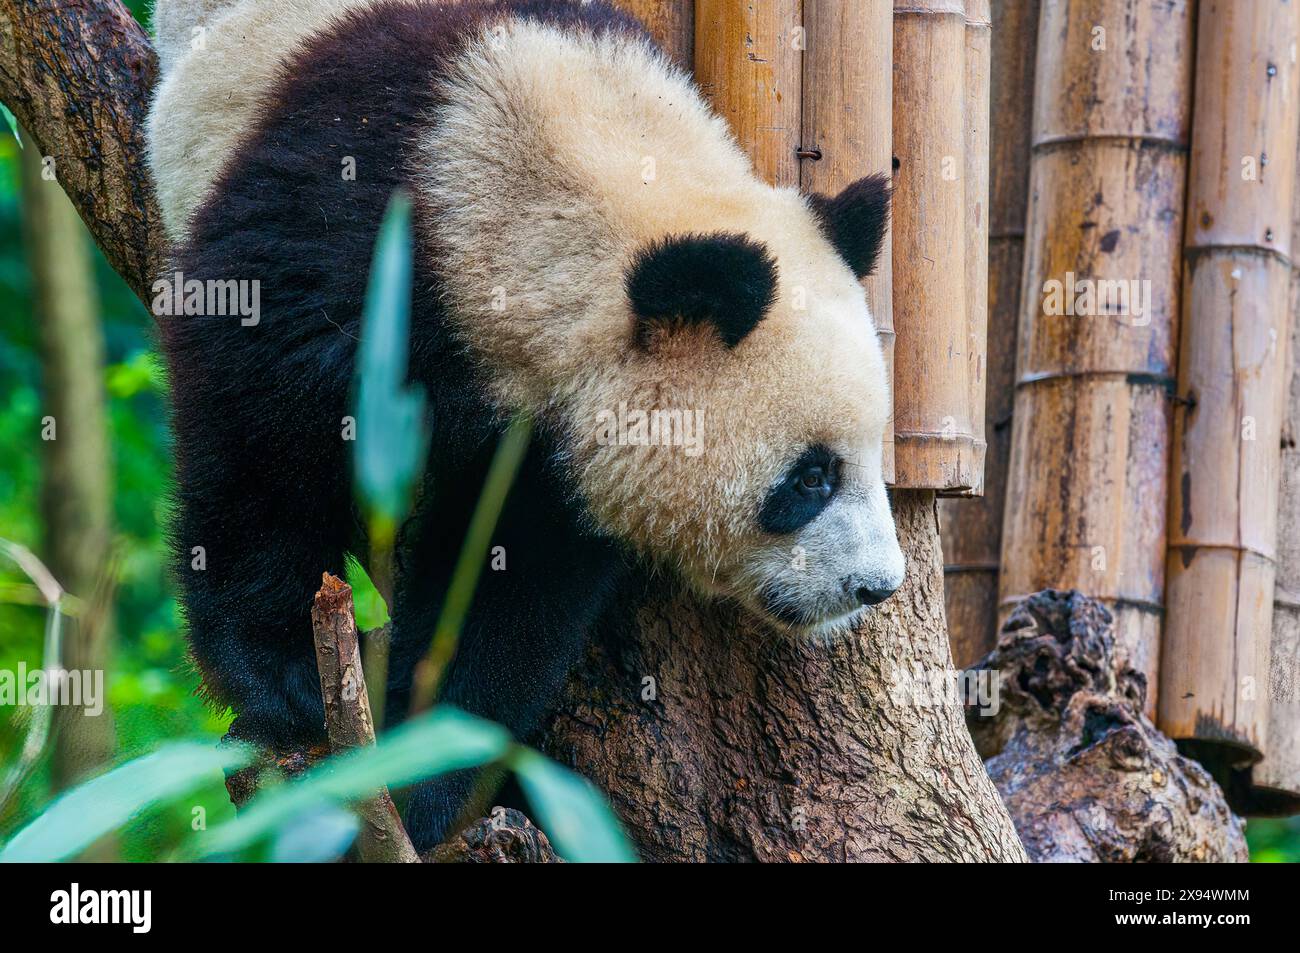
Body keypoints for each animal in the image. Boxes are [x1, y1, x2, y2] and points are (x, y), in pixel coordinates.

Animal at [146, 0, 906, 850]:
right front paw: (285, 685)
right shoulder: (341, 235)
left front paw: (424, 768)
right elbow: (254, 433)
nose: (875, 585)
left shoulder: (546, 451)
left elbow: (508, 593)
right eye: (809, 477)